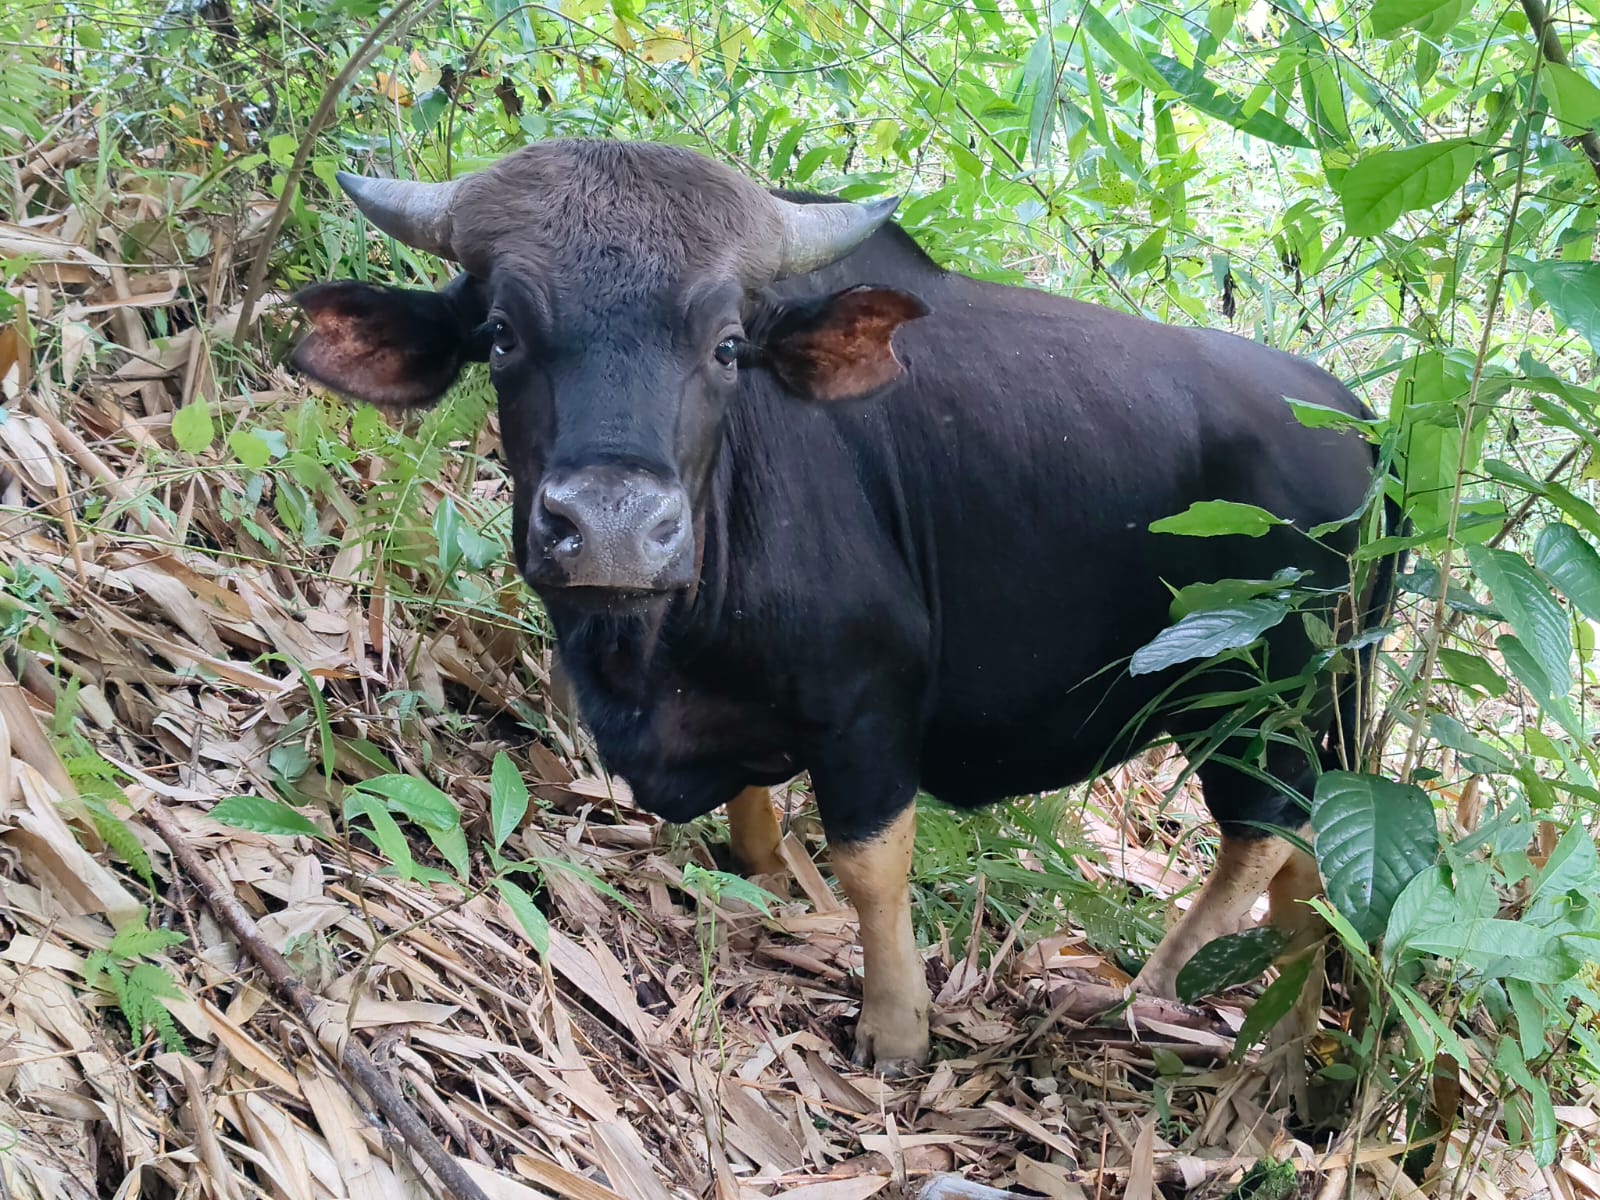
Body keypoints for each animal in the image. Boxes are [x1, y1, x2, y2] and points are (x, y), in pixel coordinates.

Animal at [290, 139, 1394, 1076]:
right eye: (502, 333)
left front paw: (895, 1024)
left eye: (727, 343)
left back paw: (1156, 989)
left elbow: (870, 863)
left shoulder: (870, 702)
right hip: (1325, 703)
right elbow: (754, 825)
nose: (612, 527)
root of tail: (1360, 420)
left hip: (1258, 699)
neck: (657, 653)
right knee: (1317, 868)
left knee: (1267, 836)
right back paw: (1283, 1048)